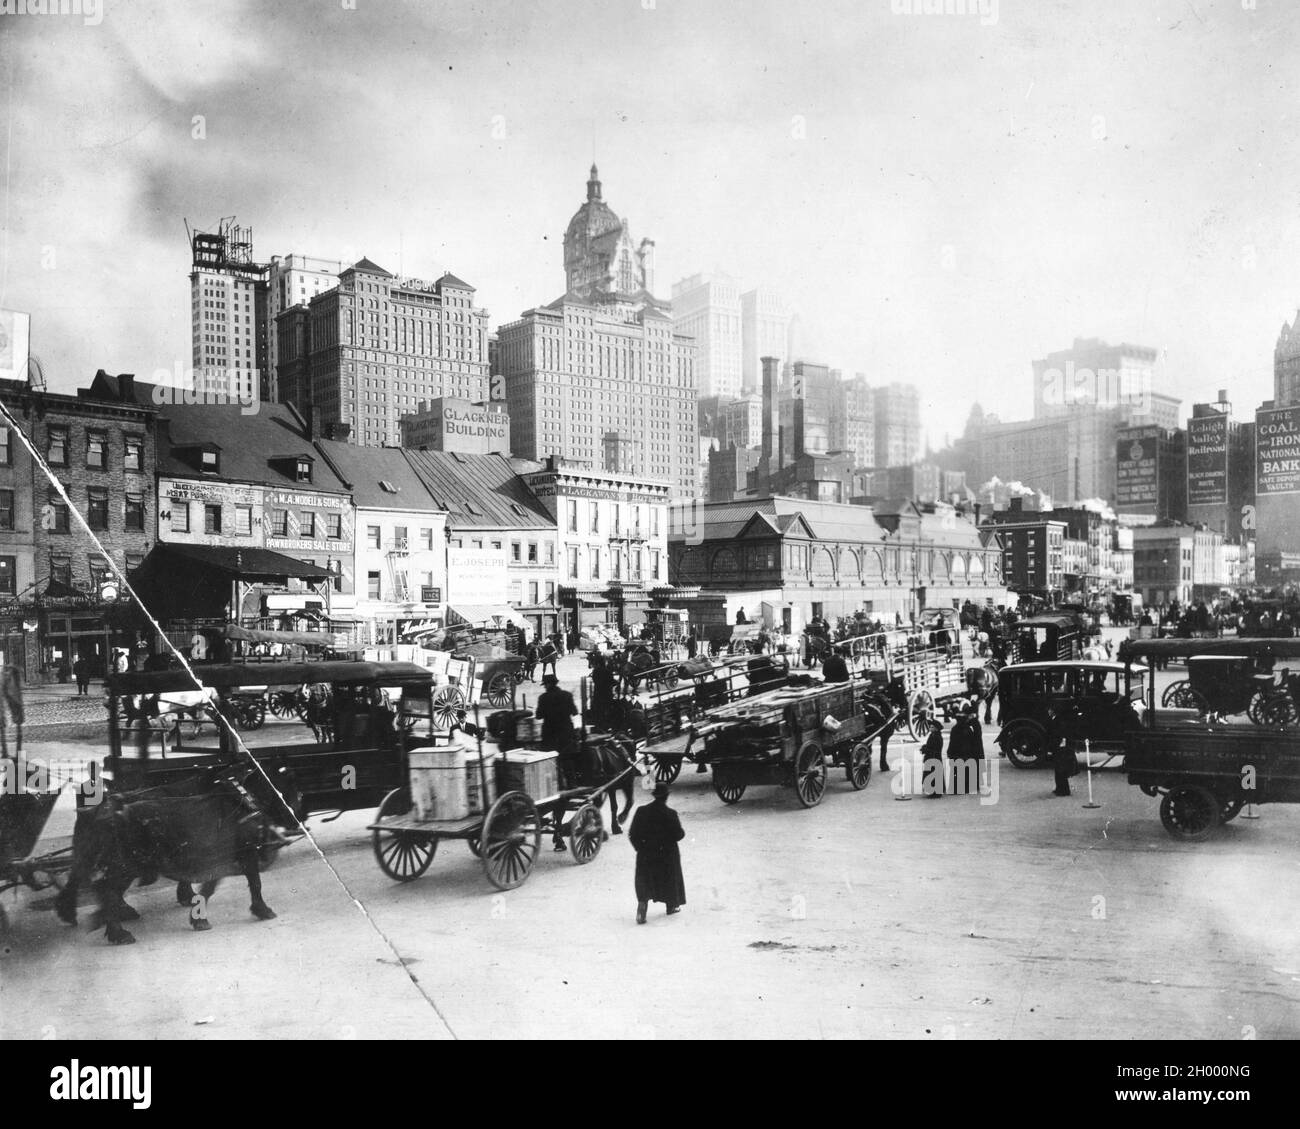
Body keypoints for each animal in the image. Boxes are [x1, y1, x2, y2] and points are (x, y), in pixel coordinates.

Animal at [57, 759, 300, 941]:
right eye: (284, 785)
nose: (294, 818)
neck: (240, 798)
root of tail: (104, 810)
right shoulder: (240, 853)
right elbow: (246, 882)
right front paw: (201, 917)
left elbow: (224, 884)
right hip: (125, 864)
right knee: (106, 890)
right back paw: (117, 931)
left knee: (91, 883)